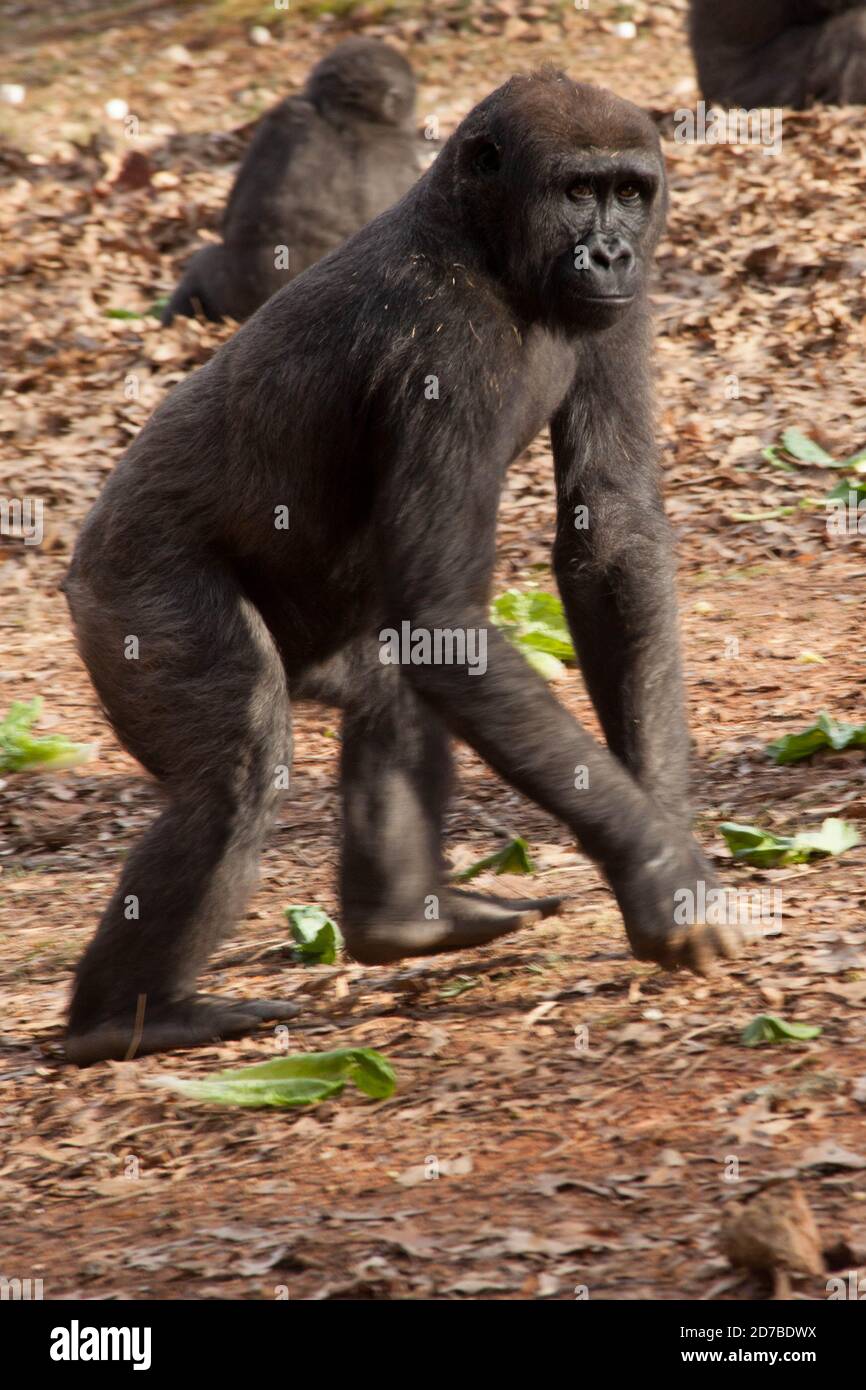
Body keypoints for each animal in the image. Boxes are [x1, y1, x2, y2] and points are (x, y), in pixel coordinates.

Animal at [64, 69, 740, 1064]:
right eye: (578, 190)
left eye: (630, 191)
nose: (613, 251)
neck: (481, 239)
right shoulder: (444, 345)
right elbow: (447, 616)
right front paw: (658, 867)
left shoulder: (624, 305)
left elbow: (610, 531)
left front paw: (658, 816)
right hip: (126, 599)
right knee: (237, 766)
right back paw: (128, 1017)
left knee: (389, 683)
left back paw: (405, 922)